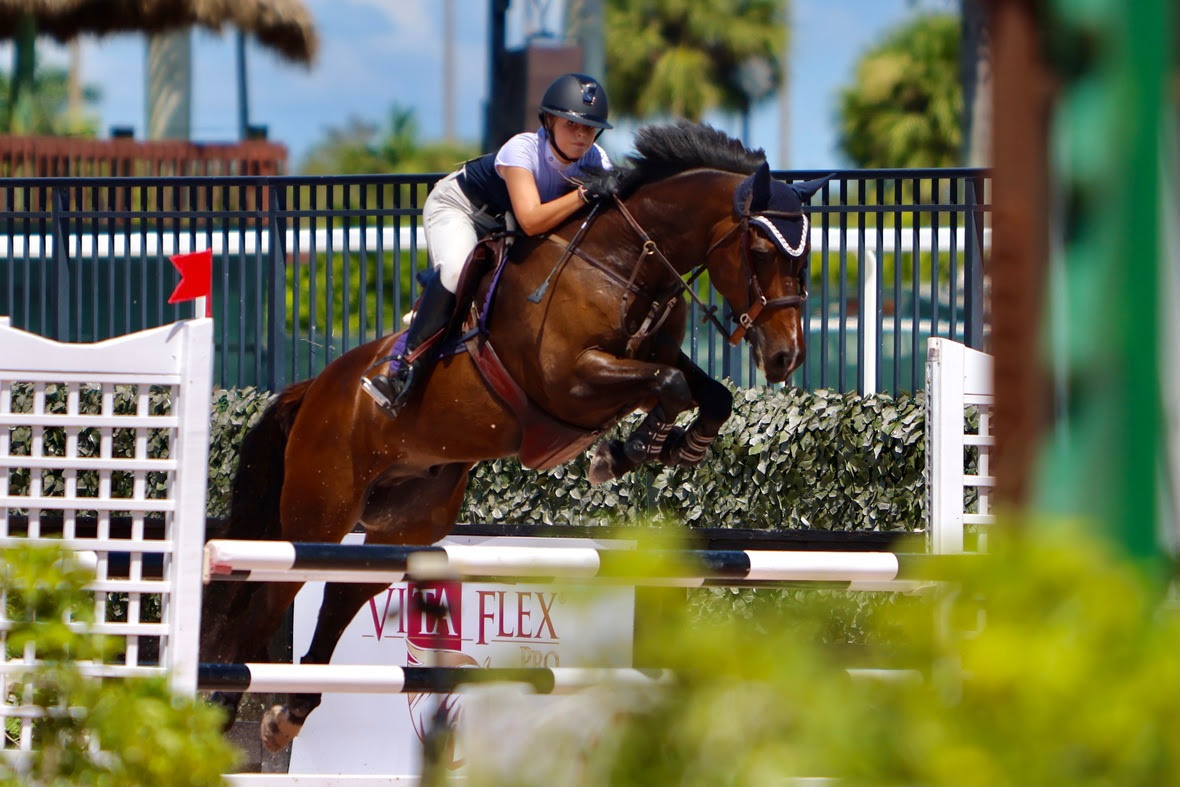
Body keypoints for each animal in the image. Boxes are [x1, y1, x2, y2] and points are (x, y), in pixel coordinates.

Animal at [199, 121, 826, 753]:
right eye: (762, 250)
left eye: (805, 261)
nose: (785, 357)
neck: (622, 263)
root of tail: (317, 388)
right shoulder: (571, 382)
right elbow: (670, 386)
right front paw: (624, 452)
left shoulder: (649, 359)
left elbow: (707, 392)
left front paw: (671, 447)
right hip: (320, 508)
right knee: (271, 597)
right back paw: (226, 710)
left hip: (407, 518)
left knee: (342, 594)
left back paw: (290, 712)